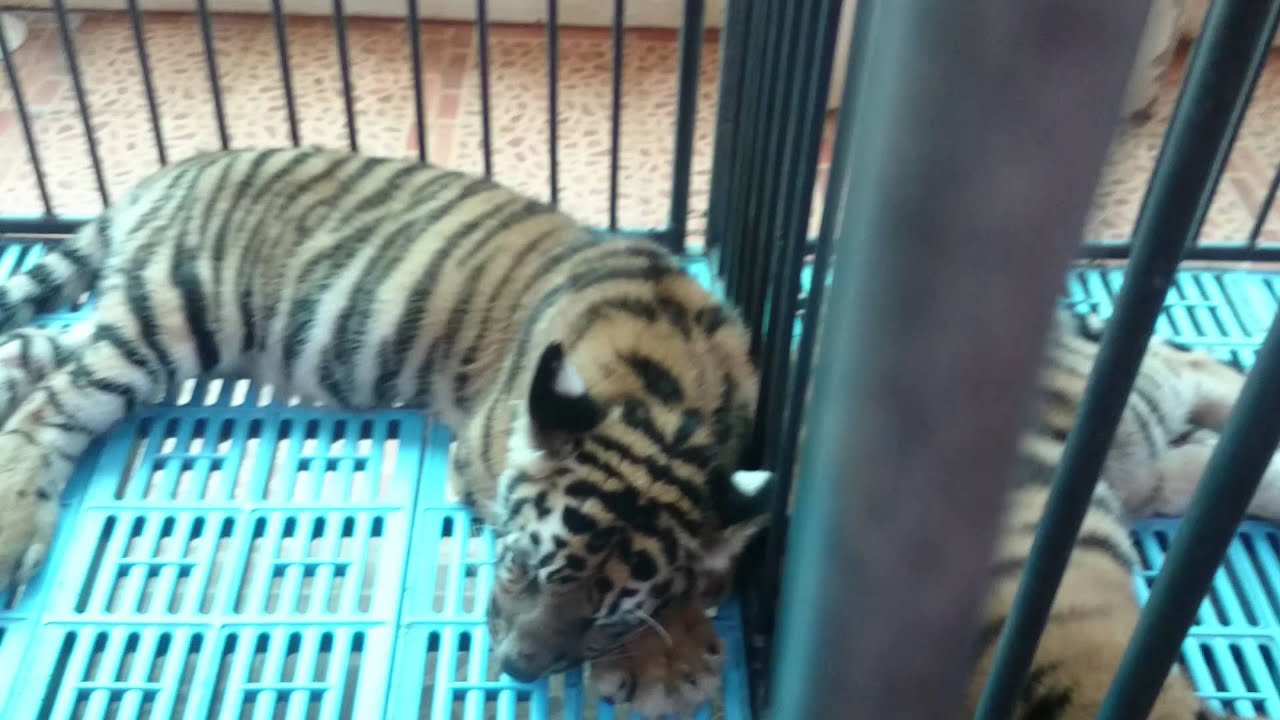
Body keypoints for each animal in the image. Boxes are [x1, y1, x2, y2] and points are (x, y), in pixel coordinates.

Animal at [0, 146, 772, 713]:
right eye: (521, 566)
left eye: (605, 617)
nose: (517, 670)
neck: (667, 402)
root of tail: (178, 167)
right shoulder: (482, 456)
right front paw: (664, 666)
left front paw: (674, 643)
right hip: (171, 314)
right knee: (55, 403)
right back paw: (15, 529)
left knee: (33, 352)